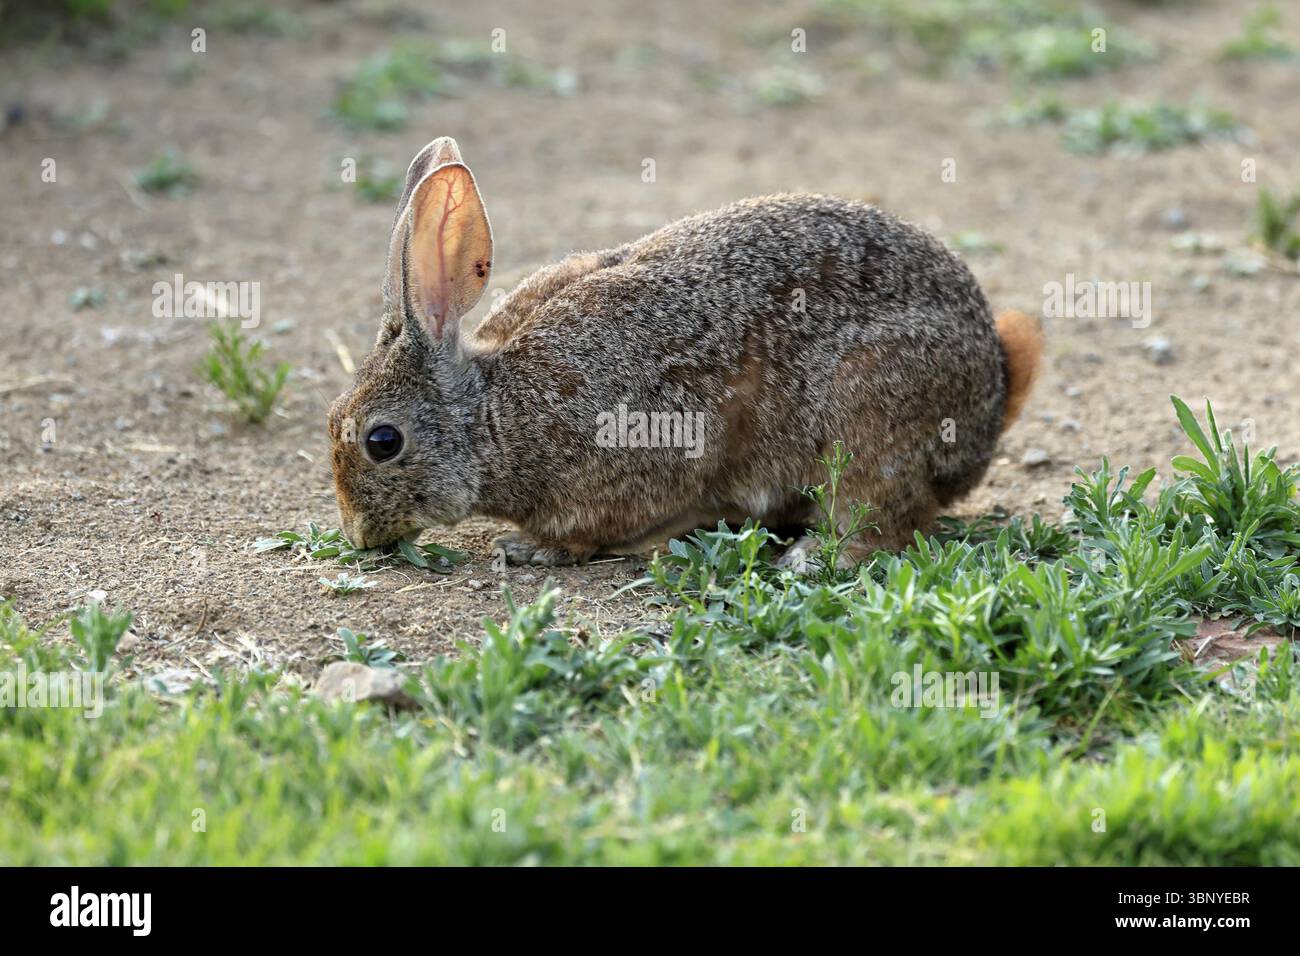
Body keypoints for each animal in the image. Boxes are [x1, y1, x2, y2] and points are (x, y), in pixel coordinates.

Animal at [328, 136, 1044, 567]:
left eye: (382, 441)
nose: (358, 535)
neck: (491, 418)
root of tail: (992, 394)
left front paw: (534, 549)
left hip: (873, 408)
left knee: (882, 518)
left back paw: (810, 556)